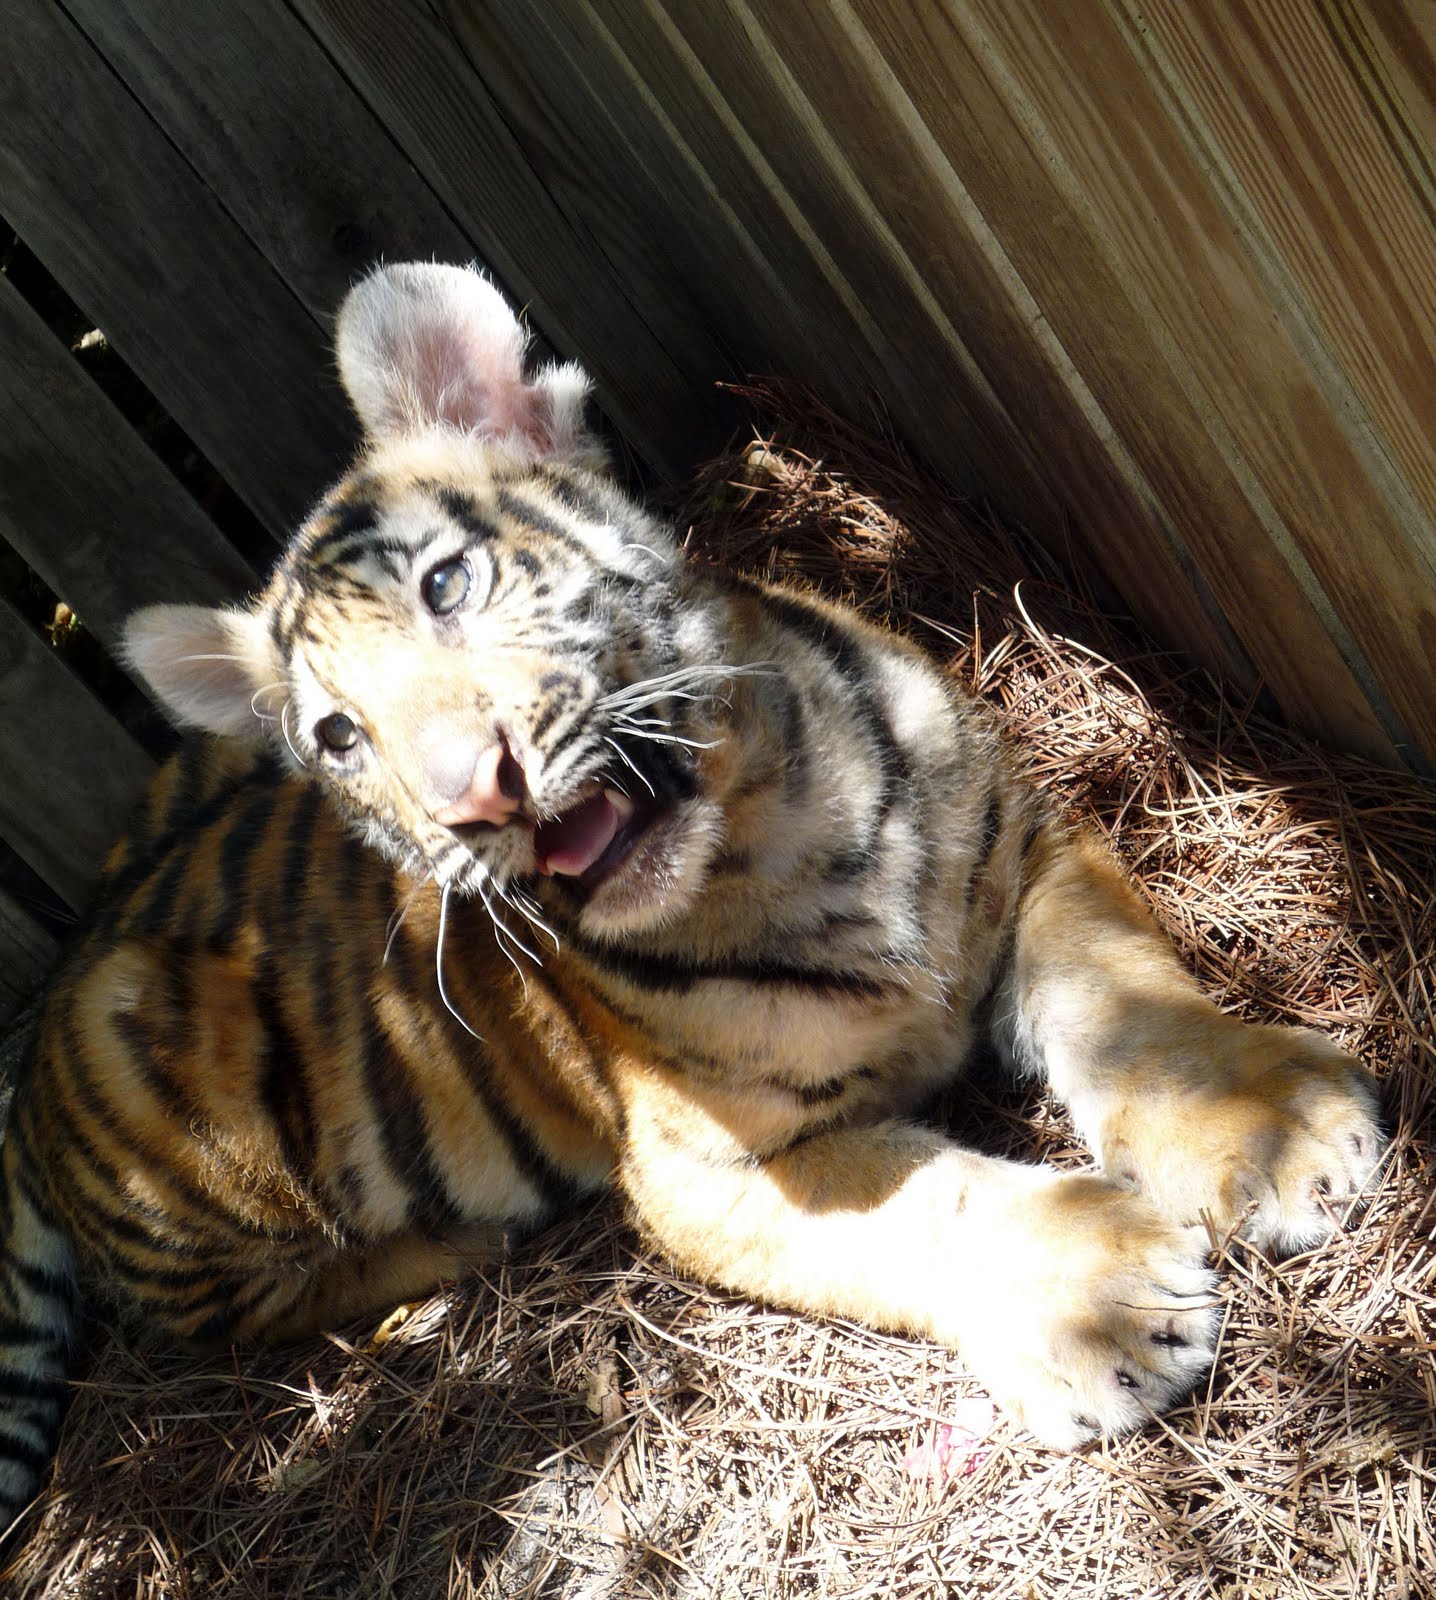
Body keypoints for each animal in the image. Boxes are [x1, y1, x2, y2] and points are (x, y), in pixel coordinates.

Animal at [0, 261, 1384, 1539]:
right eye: (338, 735)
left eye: (445, 585)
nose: (469, 799)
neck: (785, 835)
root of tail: (48, 1004)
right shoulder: (702, 1178)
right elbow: (933, 1204)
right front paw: (1108, 1302)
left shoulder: (1031, 844)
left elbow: (1127, 1008)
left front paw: (1280, 1134)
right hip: (161, 1072)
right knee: (246, 1310)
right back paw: (447, 1253)